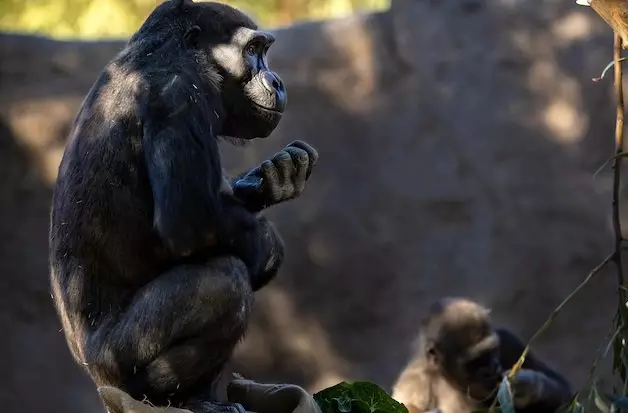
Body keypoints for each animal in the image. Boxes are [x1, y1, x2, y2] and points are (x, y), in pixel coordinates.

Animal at [47, 0, 318, 412]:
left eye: (264, 51)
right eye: (253, 50)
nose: (276, 80)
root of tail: (94, 377)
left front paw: (269, 181)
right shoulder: (178, 96)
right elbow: (191, 220)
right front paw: (268, 248)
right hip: (114, 361)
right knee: (225, 282)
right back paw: (165, 397)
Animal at [392, 296, 576, 412]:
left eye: (491, 351)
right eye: (474, 362)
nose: (491, 368)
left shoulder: (508, 340)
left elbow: (564, 393)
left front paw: (527, 386)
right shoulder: (414, 378)